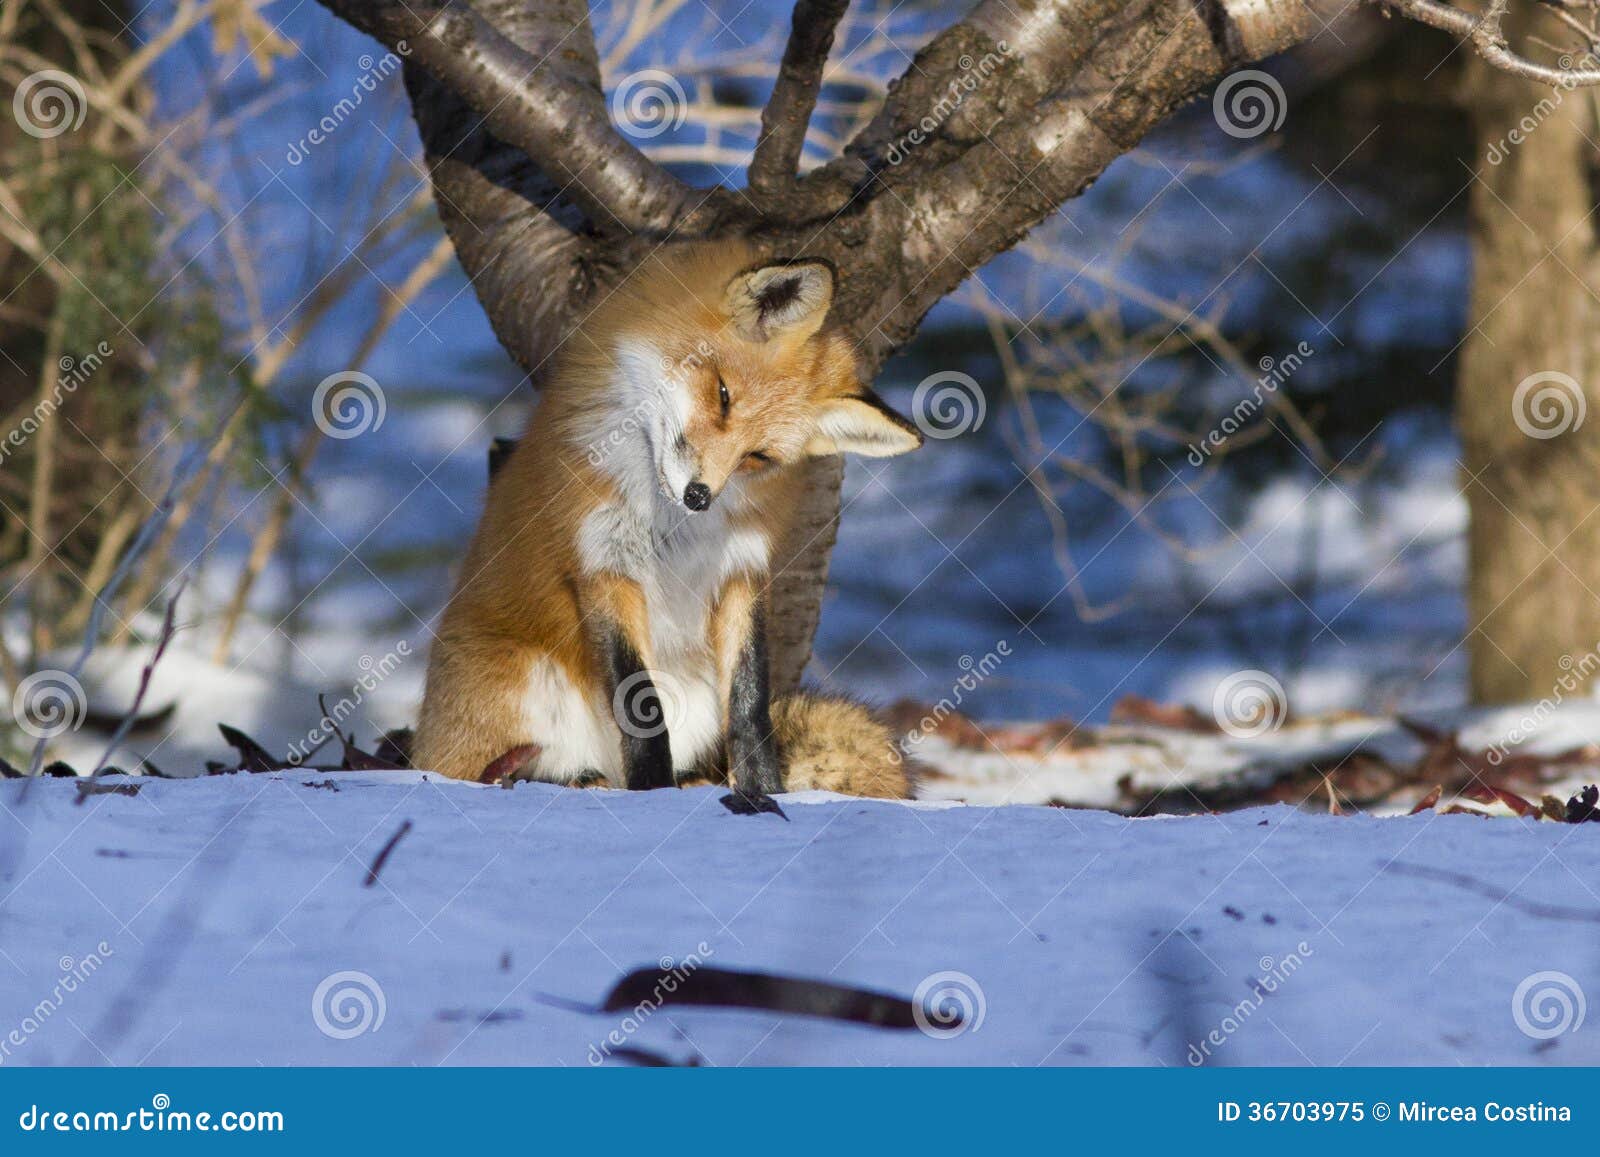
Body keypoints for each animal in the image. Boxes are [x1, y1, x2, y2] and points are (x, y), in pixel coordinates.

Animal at [411, 240, 922, 798]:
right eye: (723, 395)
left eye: (757, 457)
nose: (699, 496)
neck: (673, 528)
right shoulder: (605, 565)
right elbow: (641, 705)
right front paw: (654, 796)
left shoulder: (741, 571)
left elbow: (750, 702)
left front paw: (764, 792)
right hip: (520, 685)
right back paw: (571, 781)